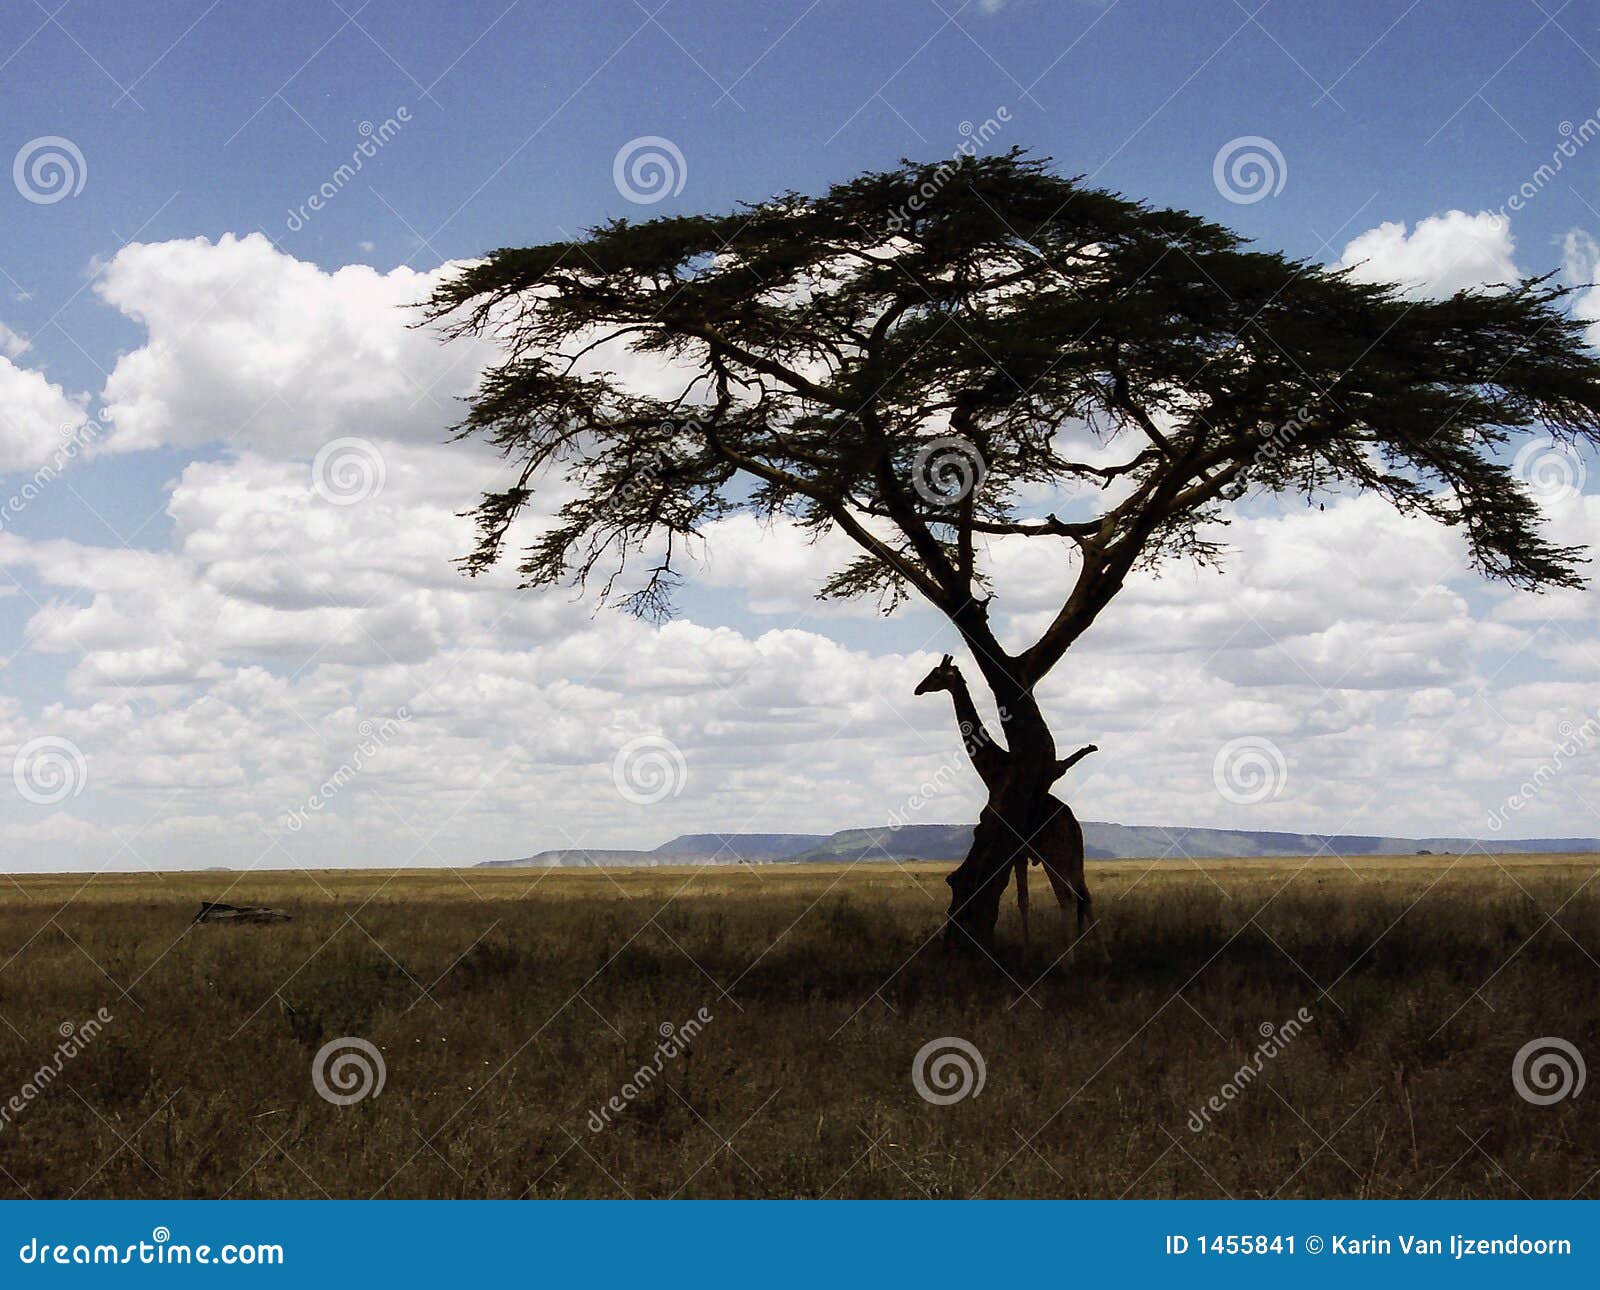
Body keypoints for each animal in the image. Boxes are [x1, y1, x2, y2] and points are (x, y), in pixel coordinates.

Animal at [913, 654, 1097, 945]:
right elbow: (1023, 900)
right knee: (1084, 897)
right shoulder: (1017, 852)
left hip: (1054, 854)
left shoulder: (1012, 845)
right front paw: (1026, 945)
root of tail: (1073, 825)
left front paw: (1026, 948)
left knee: (1067, 899)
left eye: (937, 674)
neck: (996, 770)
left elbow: (1023, 900)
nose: (918, 689)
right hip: (1073, 856)